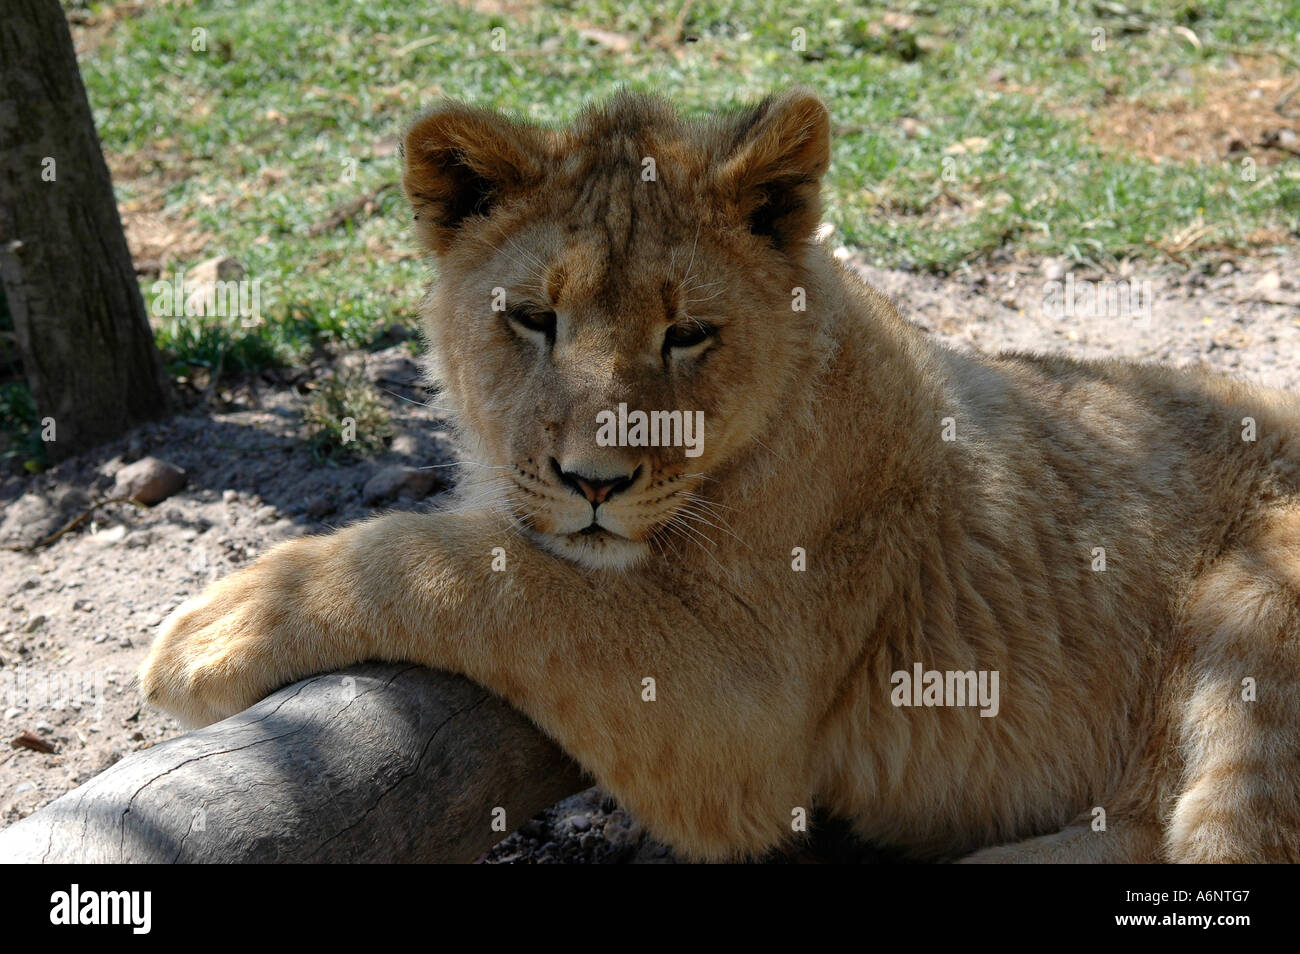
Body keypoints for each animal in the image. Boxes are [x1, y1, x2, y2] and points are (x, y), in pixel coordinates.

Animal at [140, 89, 1300, 862]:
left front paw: (222, 625)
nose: (594, 482)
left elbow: (472, 565)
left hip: (1259, 620)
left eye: (688, 332)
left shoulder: (740, 694)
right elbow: (495, 541)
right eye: (534, 318)